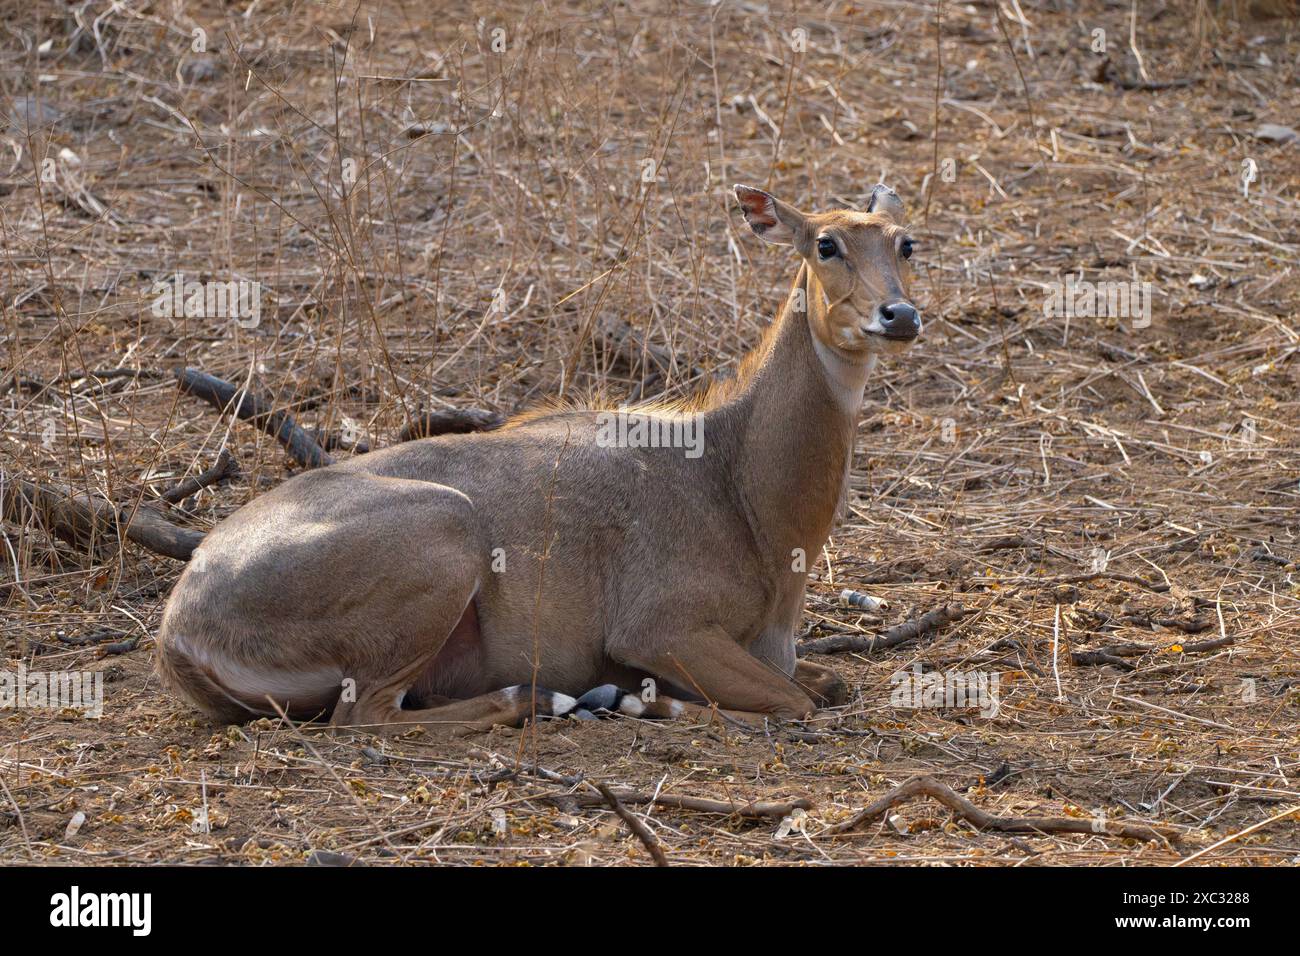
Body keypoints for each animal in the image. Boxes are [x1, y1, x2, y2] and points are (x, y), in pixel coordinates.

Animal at [156, 183, 922, 733]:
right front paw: (641, 700)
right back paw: (548, 700)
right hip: (446, 535)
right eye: (824, 243)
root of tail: (180, 631)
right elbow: (795, 702)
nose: (900, 315)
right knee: (363, 715)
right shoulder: (659, 627)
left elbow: (827, 681)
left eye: (905, 242)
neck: (737, 485)